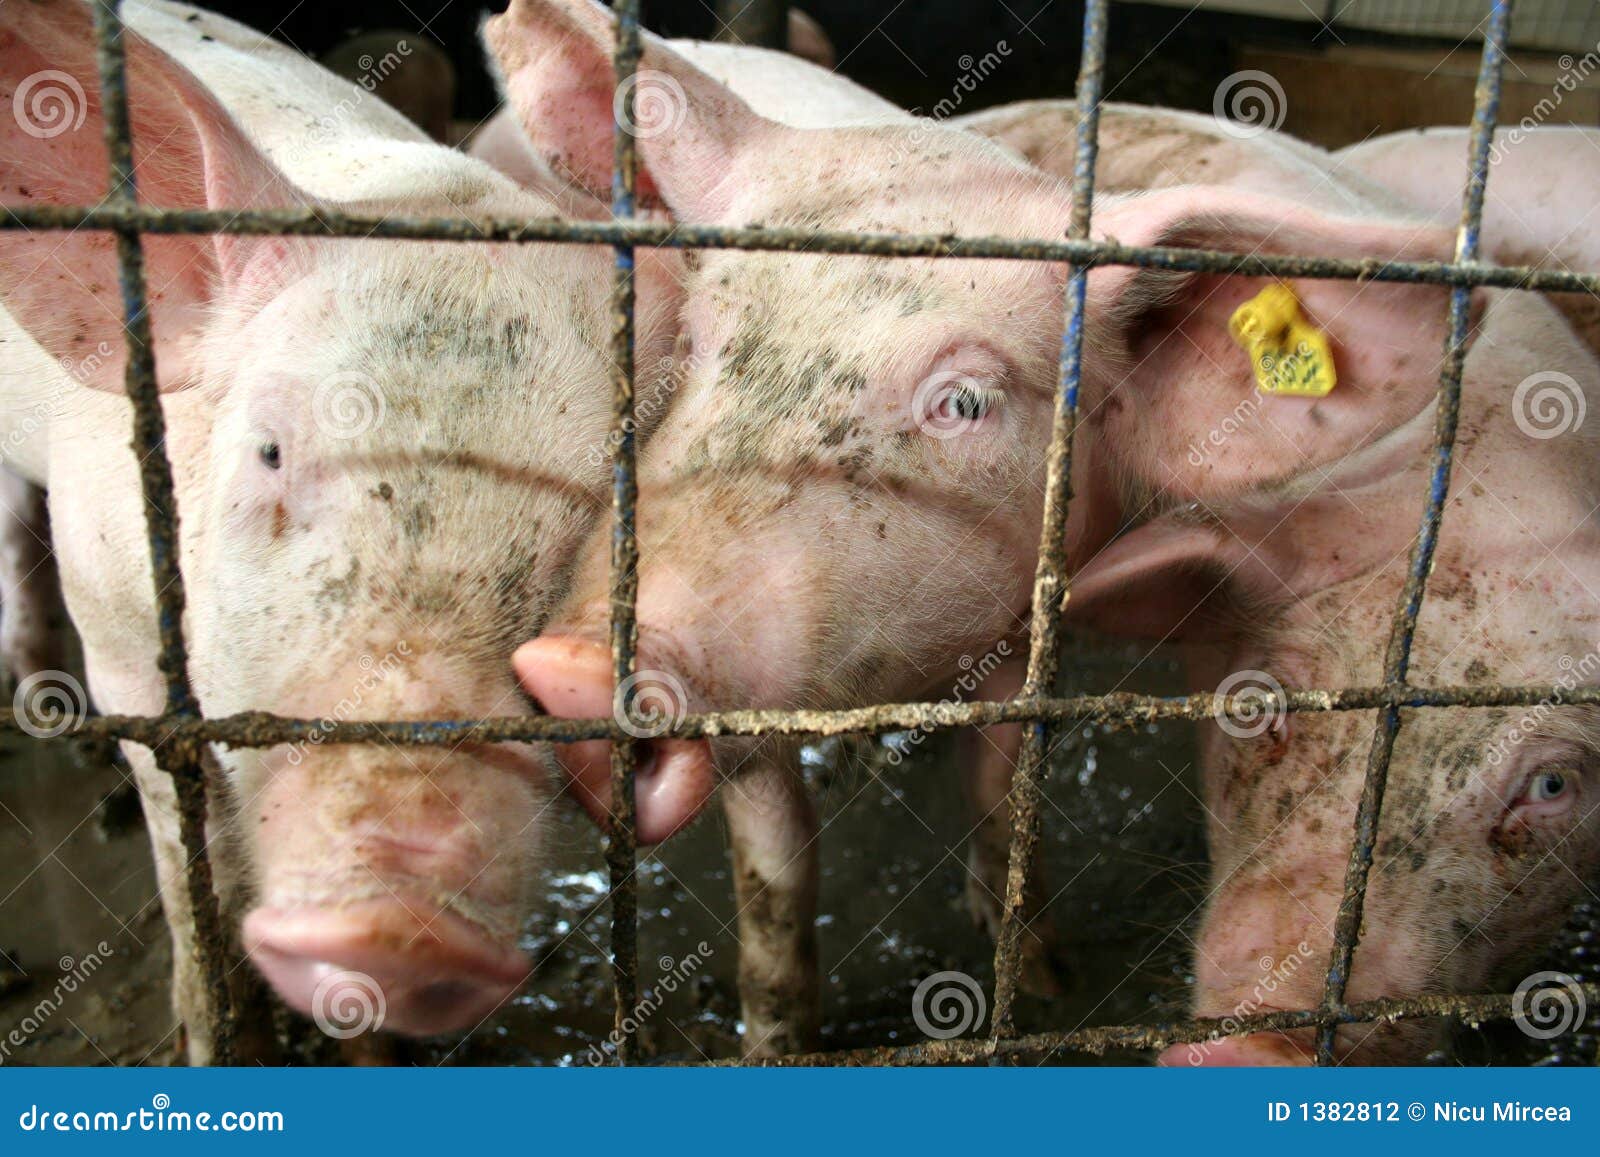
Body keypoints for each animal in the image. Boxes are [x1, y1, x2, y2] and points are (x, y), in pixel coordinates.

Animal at [487, 0, 1559, 1058]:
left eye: (964, 402)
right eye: (702, 343)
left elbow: (1001, 791)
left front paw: (1040, 974)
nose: (573, 666)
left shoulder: (1027, 621)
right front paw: (776, 1042)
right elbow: (777, 877)